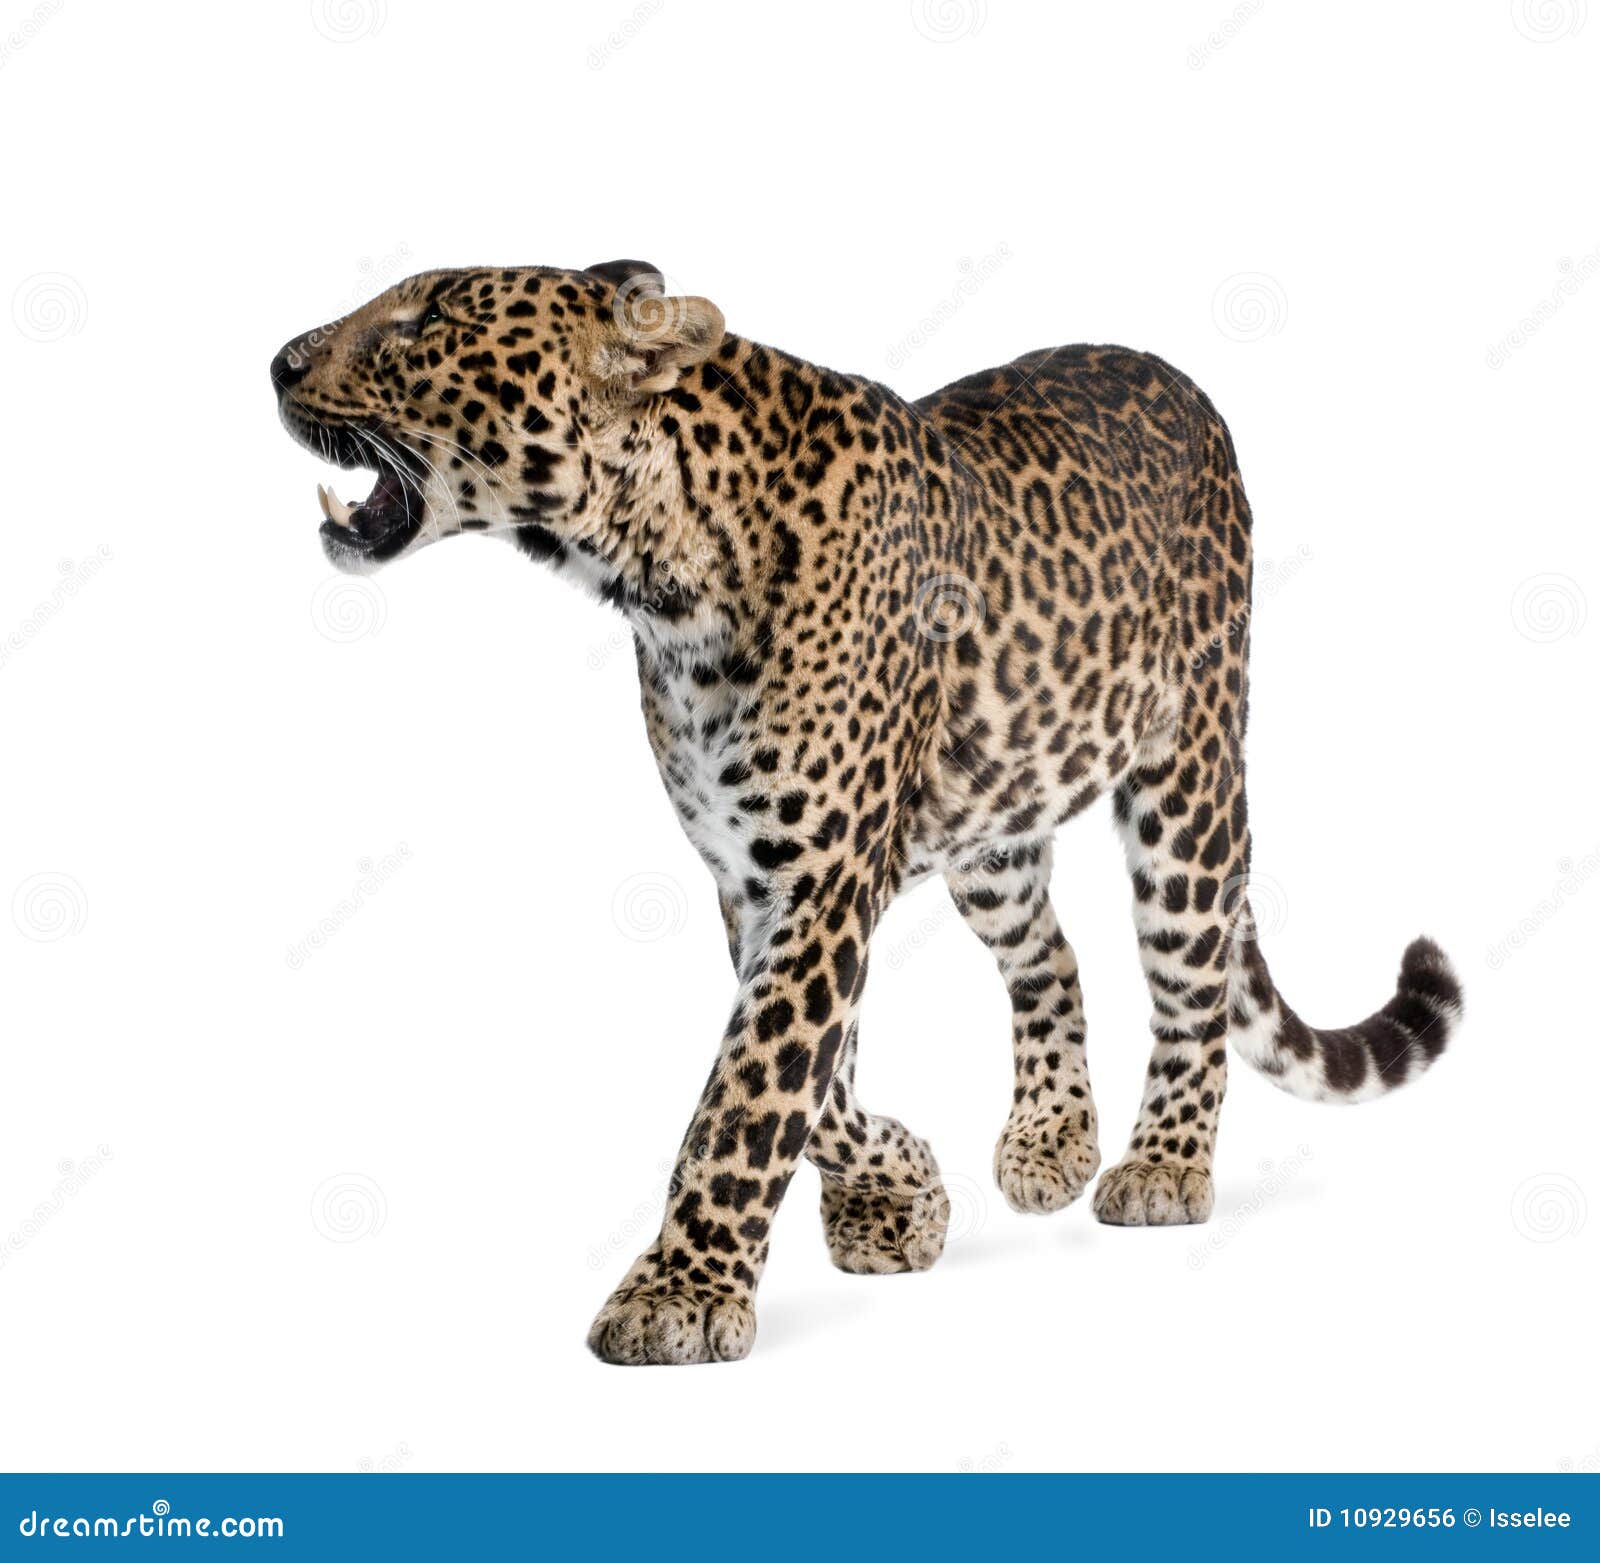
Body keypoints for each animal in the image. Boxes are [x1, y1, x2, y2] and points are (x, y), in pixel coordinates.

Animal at [271, 259, 1464, 1365]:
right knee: (1052, 958)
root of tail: (1171, 373)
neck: (659, 574)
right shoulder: (752, 879)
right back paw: (1052, 1137)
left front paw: (676, 1296)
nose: (278, 362)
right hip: (994, 830)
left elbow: (747, 1097)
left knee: (1193, 982)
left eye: (424, 318)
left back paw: (1162, 1162)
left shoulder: (821, 881)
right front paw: (897, 1196)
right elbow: (814, 1084)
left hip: (1191, 779)